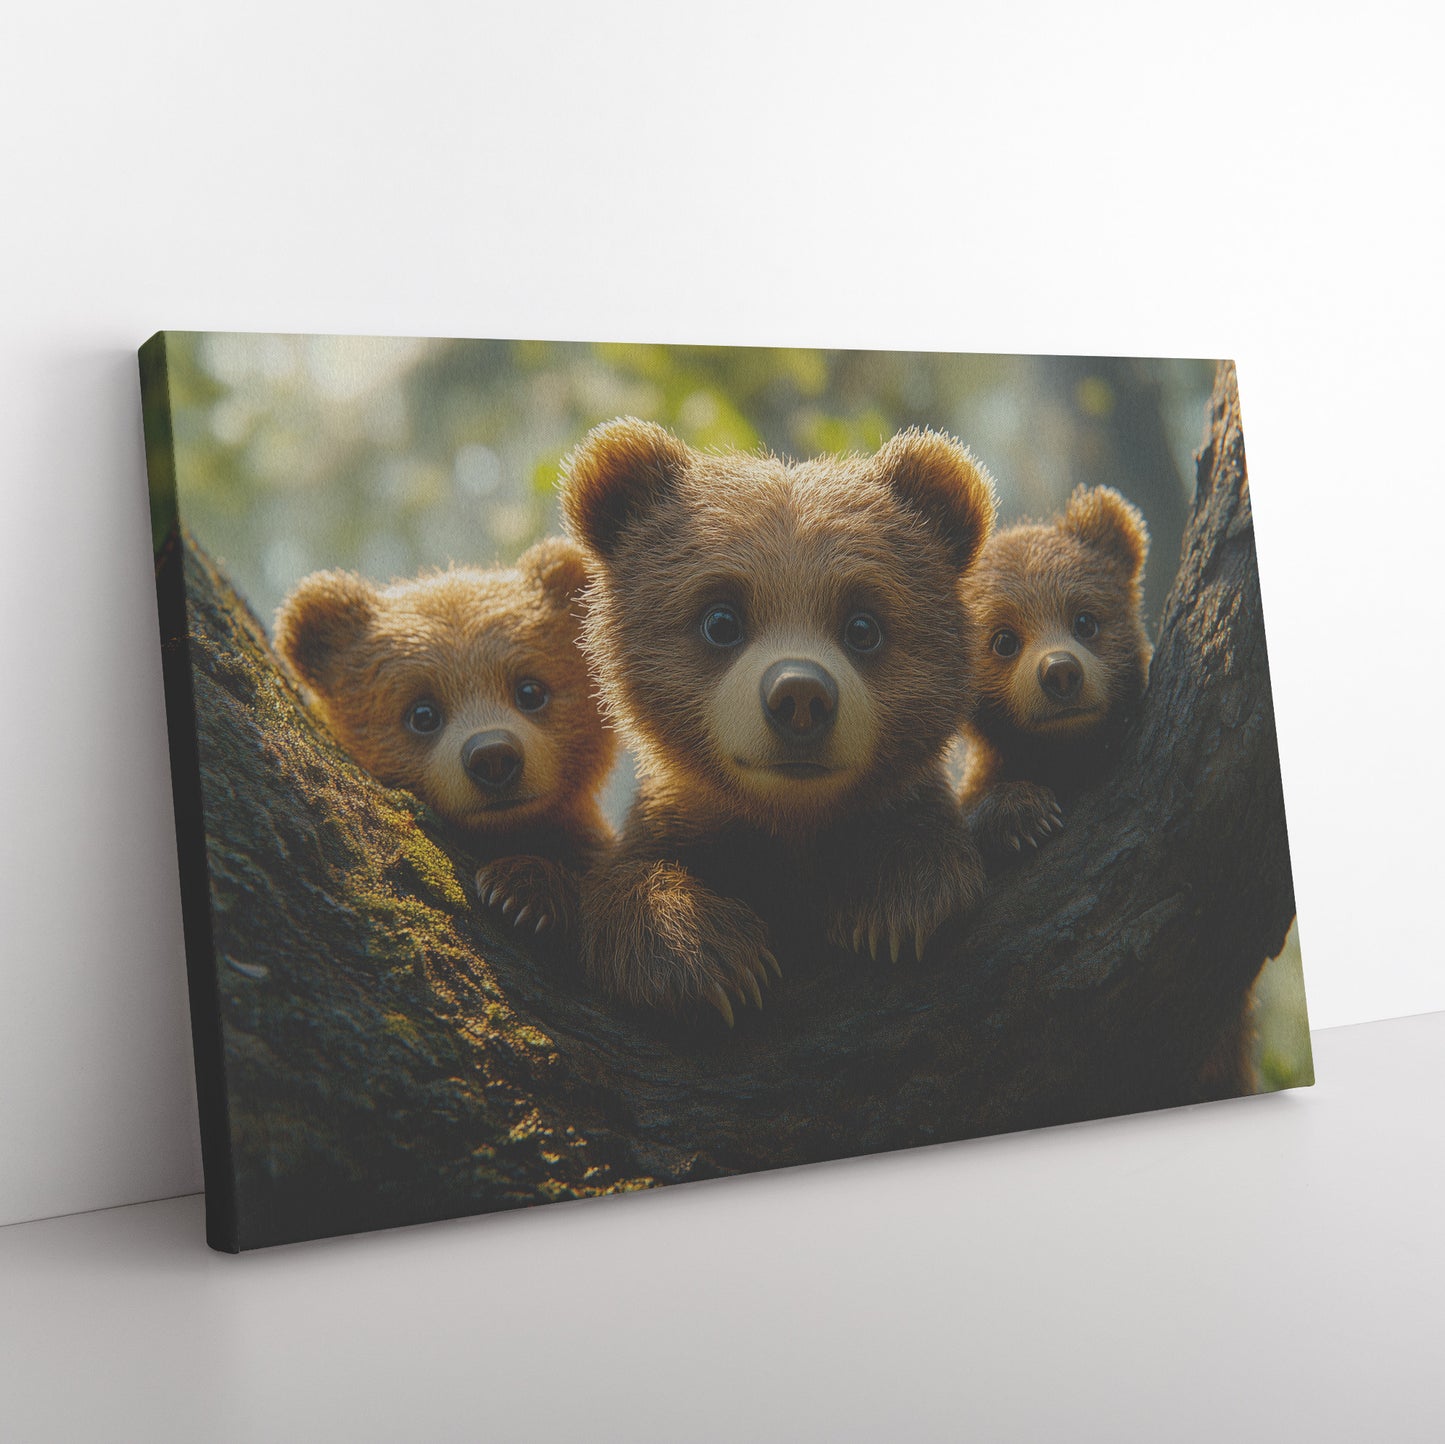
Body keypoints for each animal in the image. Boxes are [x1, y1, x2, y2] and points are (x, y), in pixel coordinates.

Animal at [559, 418, 997, 1025]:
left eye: (863, 625)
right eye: (721, 618)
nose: (800, 697)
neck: (791, 824)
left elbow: (920, 845)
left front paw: (894, 902)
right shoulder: (679, 826)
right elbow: (632, 890)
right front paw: (710, 954)